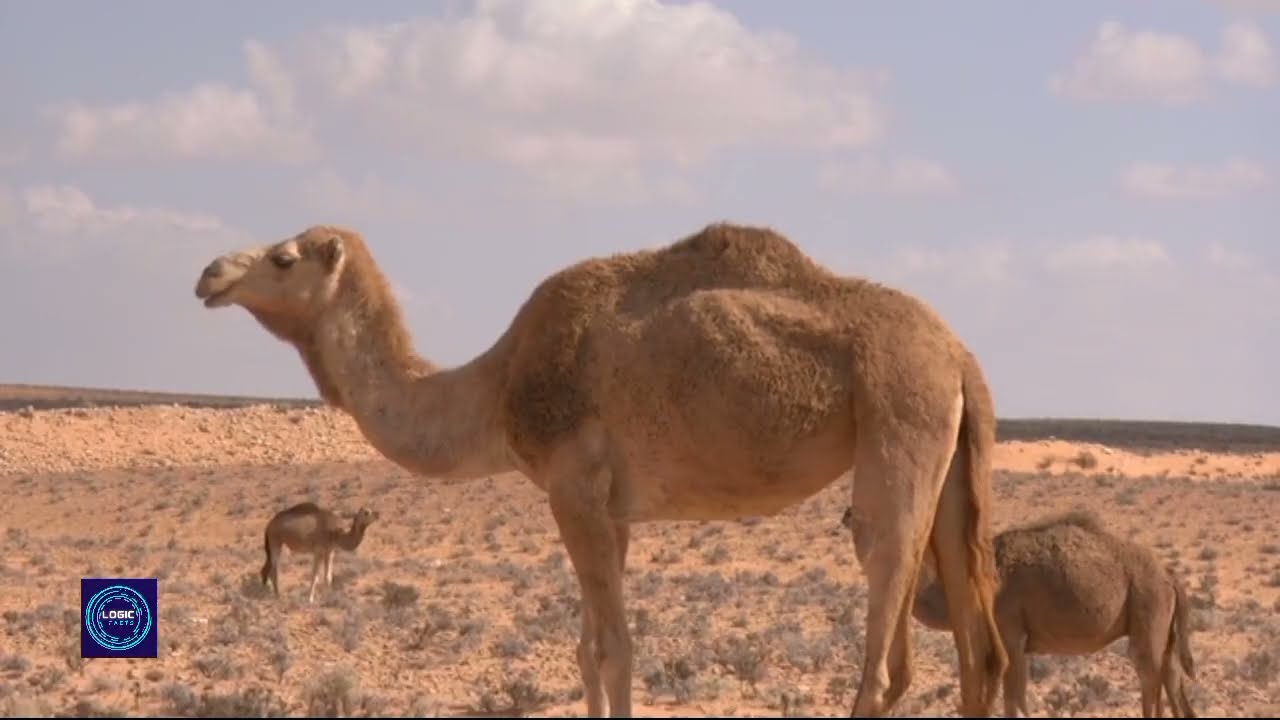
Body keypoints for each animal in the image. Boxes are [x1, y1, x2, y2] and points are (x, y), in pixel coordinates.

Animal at [193, 222, 1008, 717]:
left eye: (283, 257)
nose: (208, 274)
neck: (495, 387)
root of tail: (959, 353)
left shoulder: (573, 488)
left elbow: (613, 651)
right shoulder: (608, 509)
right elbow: (588, 651)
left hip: (899, 422)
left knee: (888, 645)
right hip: (950, 462)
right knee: (982, 651)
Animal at [842, 507, 1197, 718]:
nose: (847, 513)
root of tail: (1170, 576)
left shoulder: (1010, 633)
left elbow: (1013, 699)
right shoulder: (1019, 641)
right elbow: (1018, 697)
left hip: (1148, 608)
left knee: (1150, 673)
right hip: (1162, 625)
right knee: (1172, 677)